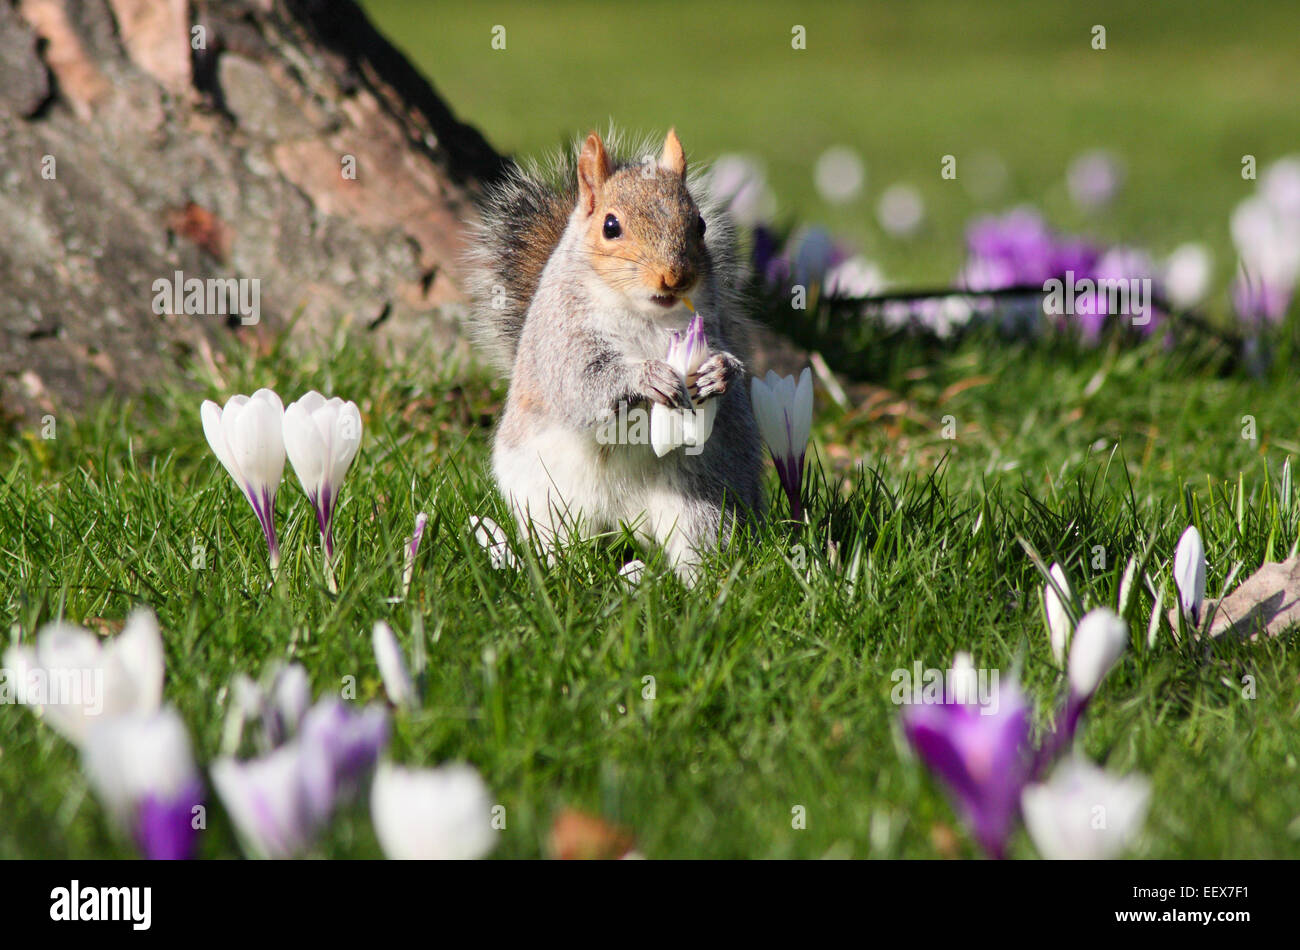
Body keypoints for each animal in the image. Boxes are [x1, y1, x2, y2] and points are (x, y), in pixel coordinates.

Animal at [462, 127, 763, 581]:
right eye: (610, 226)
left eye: (700, 224)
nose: (674, 277)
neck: (648, 313)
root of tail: (626, 518)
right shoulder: (562, 336)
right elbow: (582, 380)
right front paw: (647, 378)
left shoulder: (710, 325)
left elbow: (727, 357)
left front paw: (721, 372)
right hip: (549, 499)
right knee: (560, 542)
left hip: (703, 499)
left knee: (699, 542)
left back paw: (700, 585)